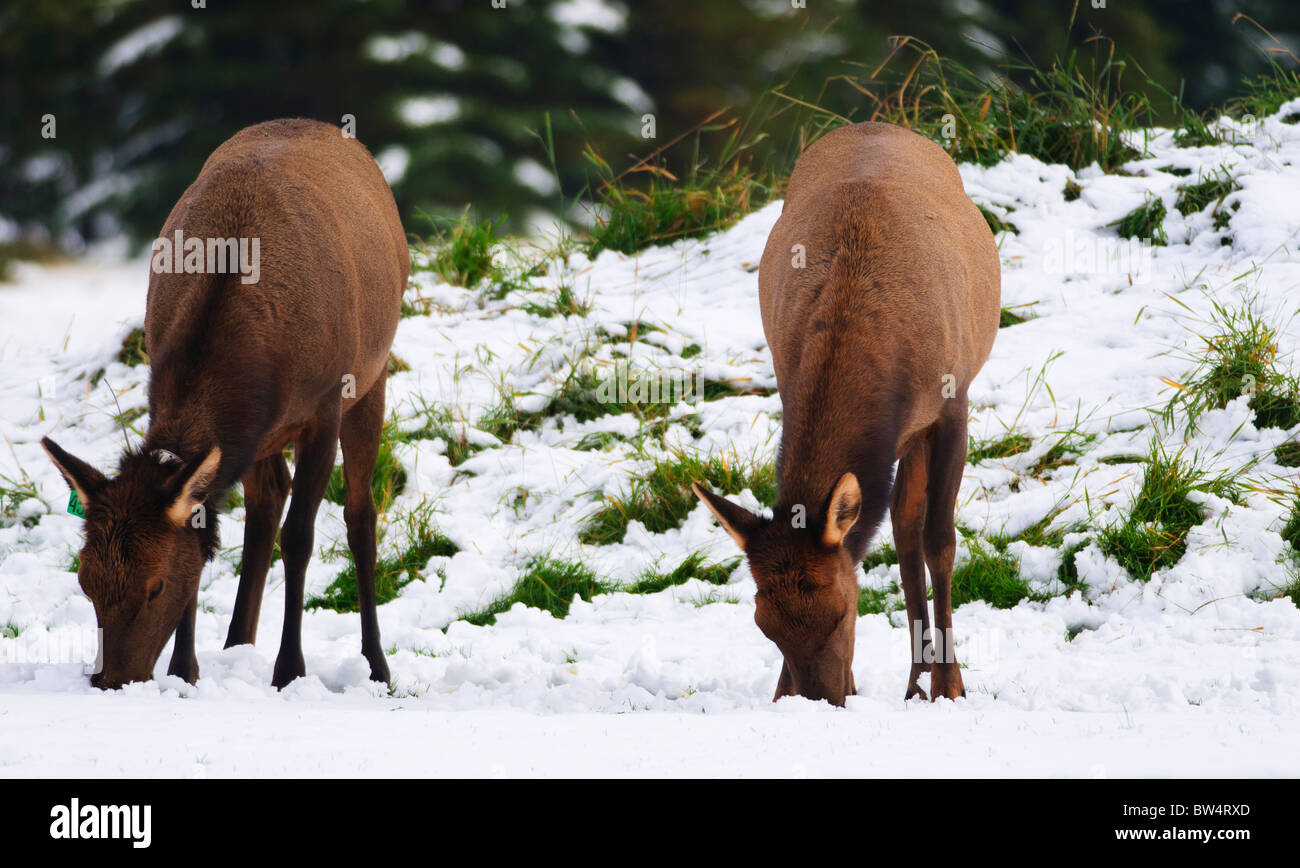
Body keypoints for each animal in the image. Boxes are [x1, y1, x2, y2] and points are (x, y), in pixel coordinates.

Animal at [41, 118, 408, 690]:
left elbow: (300, 537)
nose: (110, 681)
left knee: (360, 514)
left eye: (155, 586)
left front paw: (289, 671)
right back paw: (238, 644)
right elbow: (205, 534)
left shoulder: (325, 405)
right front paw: (184, 672)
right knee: (266, 500)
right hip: (267, 435)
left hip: (373, 374)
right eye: (85, 582)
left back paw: (375, 664)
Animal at [693, 122, 1000, 707]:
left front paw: (952, 686)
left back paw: (926, 680)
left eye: (841, 613)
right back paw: (913, 680)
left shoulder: (954, 405)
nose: (817, 699)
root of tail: (878, 124)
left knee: (911, 527)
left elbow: (941, 542)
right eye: (764, 625)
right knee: (900, 521)